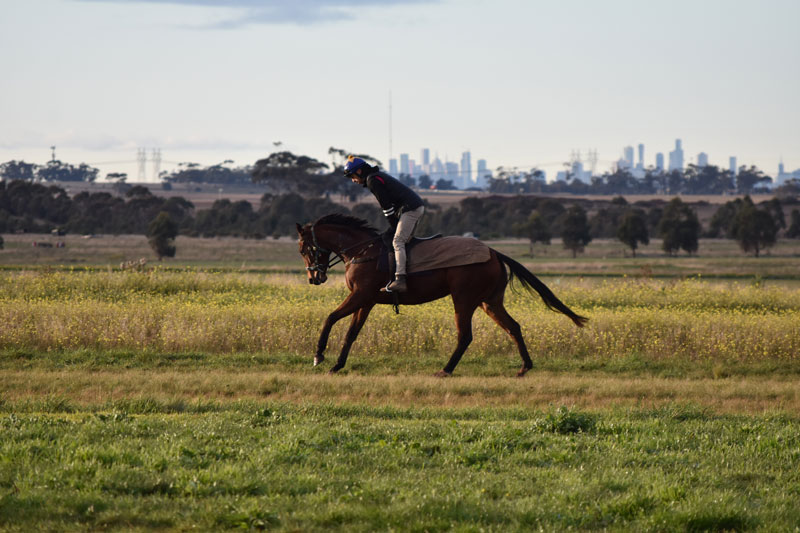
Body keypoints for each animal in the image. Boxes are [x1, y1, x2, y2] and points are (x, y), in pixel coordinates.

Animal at [296, 214, 588, 377]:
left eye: (303, 249)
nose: (313, 278)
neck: (361, 250)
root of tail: (493, 252)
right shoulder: (366, 301)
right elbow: (351, 333)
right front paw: (337, 365)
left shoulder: (360, 296)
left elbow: (330, 318)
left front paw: (319, 355)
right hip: (489, 301)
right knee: (513, 326)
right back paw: (524, 367)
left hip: (464, 299)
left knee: (465, 335)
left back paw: (446, 370)